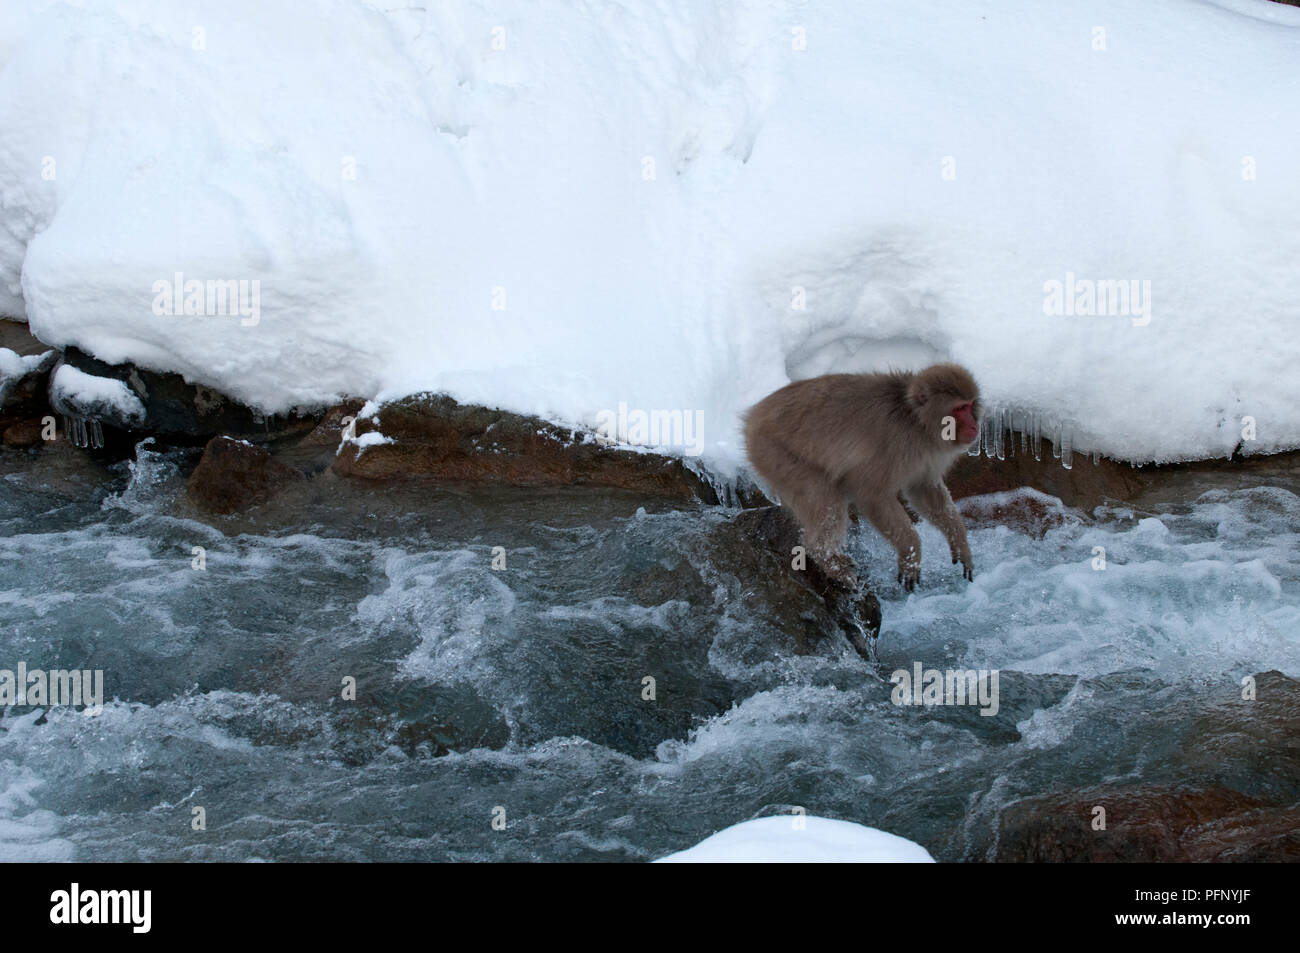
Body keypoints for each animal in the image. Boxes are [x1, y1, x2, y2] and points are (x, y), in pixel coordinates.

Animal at [743, 363, 981, 592]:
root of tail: (754, 417)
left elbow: (924, 489)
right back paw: (828, 559)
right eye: (960, 408)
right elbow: (871, 495)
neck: (915, 420)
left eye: (970, 405)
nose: (974, 426)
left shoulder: (926, 456)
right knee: (824, 499)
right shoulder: (895, 446)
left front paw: (960, 542)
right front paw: (910, 554)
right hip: (775, 453)